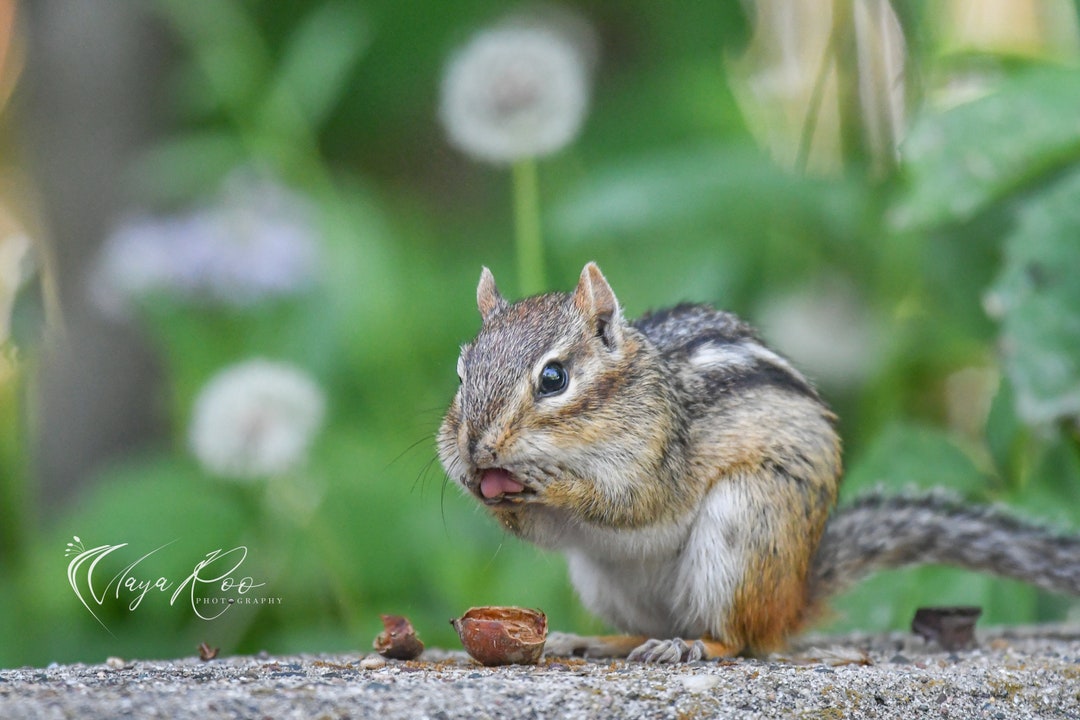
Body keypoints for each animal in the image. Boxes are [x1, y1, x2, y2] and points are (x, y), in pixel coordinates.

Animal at [437, 262, 1080, 663]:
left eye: (554, 378)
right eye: (461, 373)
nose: (474, 450)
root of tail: (793, 596)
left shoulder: (660, 458)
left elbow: (633, 505)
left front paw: (551, 482)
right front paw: (484, 491)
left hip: (744, 529)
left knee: (741, 639)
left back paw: (694, 646)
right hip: (604, 581)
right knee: (656, 626)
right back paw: (603, 642)